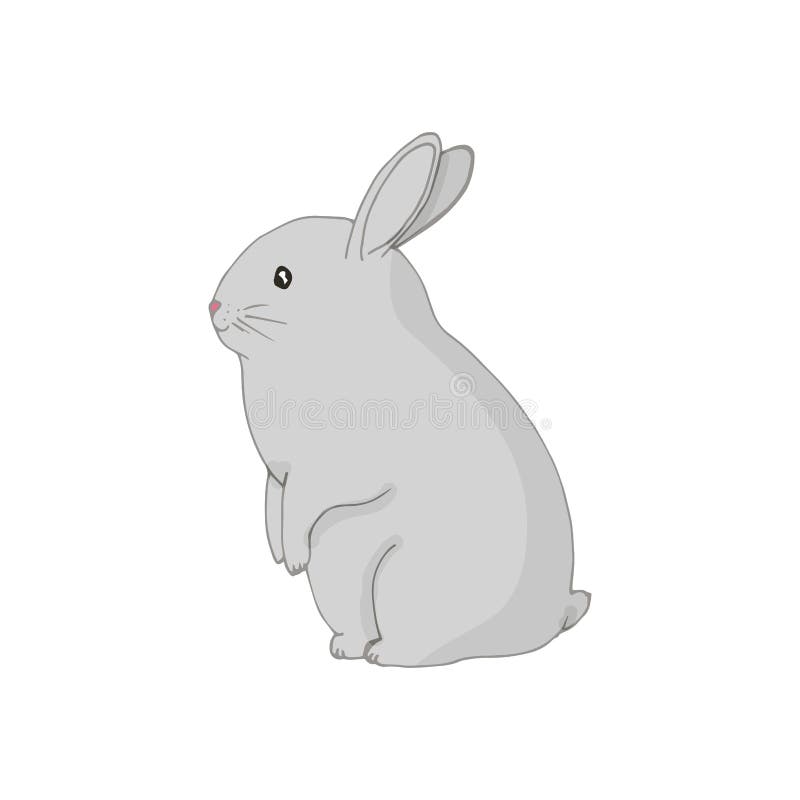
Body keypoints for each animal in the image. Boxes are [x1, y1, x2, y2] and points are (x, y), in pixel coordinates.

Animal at [209, 132, 590, 667]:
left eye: (283, 277)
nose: (213, 306)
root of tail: (550, 618)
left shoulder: (330, 471)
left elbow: (306, 505)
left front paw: (295, 556)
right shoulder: (276, 475)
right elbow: (272, 504)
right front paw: (278, 554)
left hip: (400, 581)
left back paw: (382, 655)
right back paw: (345, 649)